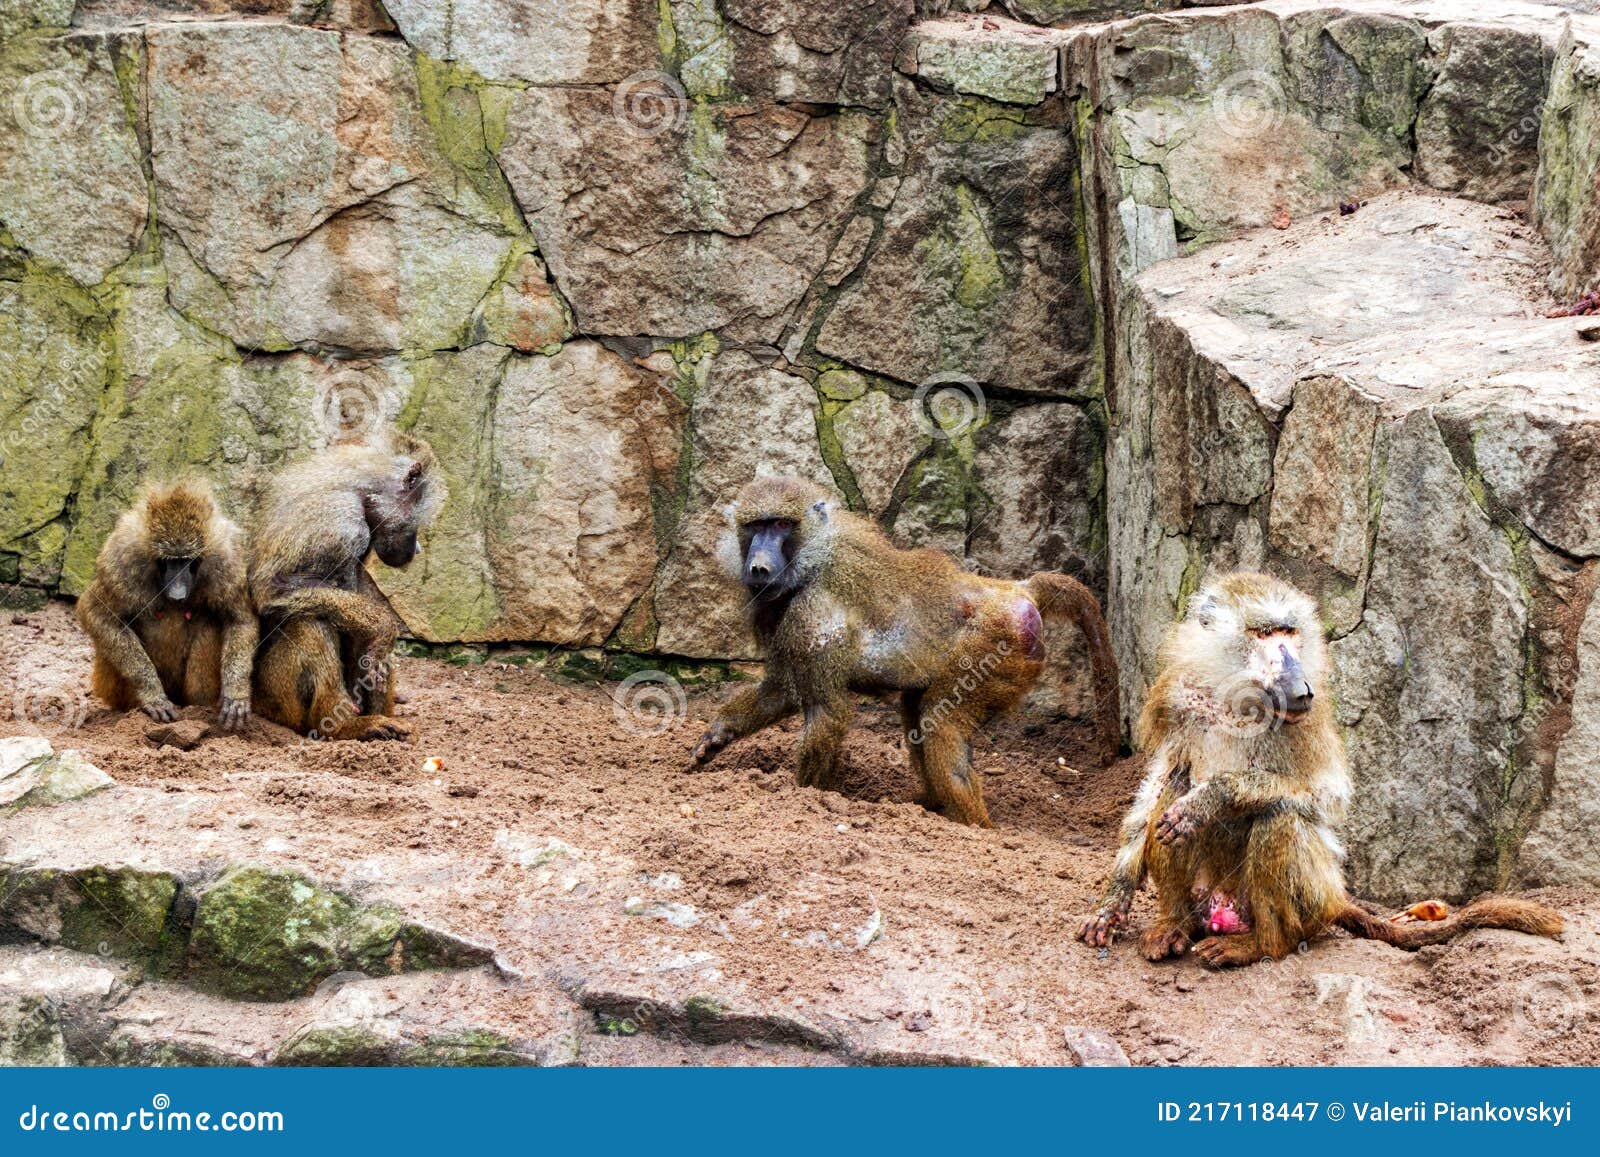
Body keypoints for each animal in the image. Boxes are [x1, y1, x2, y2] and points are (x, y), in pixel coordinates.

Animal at [76, 478, 257, 730]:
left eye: (187, 561)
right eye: (169, 561)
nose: (178, 593)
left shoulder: (226, 559)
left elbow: (239, 619)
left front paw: (236, 693)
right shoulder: (120, 562)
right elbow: (98, 615)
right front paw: (152, 695)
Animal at [249, 430, 445, 742]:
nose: (417, 549)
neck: (363, 491)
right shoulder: (342, 523)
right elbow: (273, 588)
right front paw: (385, 626)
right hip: (276, 698)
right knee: (310, 620)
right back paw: (341, 726)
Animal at [689, 474, 1121, 827]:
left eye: (780, 525)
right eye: (754, 526)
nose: (759, 567)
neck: (815, 557)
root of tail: (1015, 589)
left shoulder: (814, 609)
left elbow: (825, 712)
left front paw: (806, 796)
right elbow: (781, 689)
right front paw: (717, 736)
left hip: (998, 645)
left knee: (941, 724)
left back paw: (974, 827)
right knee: (918, 712)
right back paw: (930, 806)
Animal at [1080, 571, 1563, 967]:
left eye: (1289, 631)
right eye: (1264, 632)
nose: (1300, 685)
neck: (1232, 699)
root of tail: (1336, 898)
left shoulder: (1307, 724)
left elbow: (1325, 800)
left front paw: (1213, 797)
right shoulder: (1181, 700)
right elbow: (1158, 786)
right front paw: (1113, 901)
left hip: (1313, 899)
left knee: (1279, 817)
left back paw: (1257, 945)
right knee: (1172, 794)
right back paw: (1173, 927)